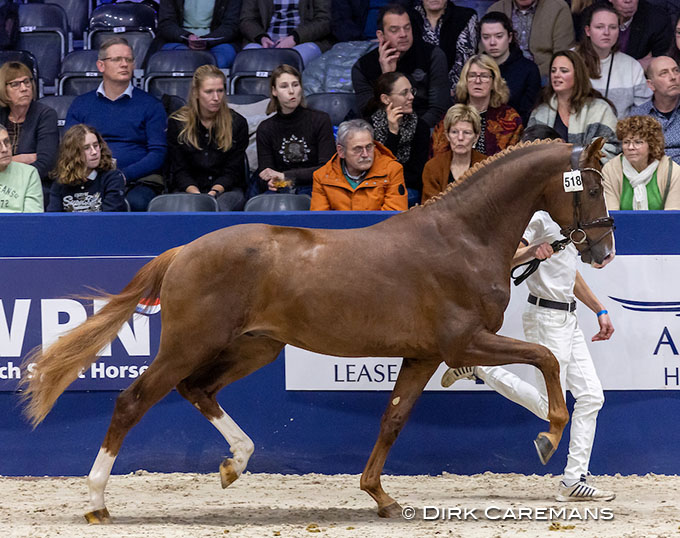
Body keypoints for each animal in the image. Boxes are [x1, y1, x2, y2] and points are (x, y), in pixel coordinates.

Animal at [21, 138, 615, 523]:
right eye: (590, 188)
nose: (604, 250)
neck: (463, 239)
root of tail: (184, 249)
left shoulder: (424, 355)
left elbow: (393, 418)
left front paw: (381, 498)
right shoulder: (462, 342)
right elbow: (546, 358)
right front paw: (548, 436)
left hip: (254, 348)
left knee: (198, 390)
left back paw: (235, 464)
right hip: (190, 345)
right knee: (133, 401)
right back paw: (97, 501)